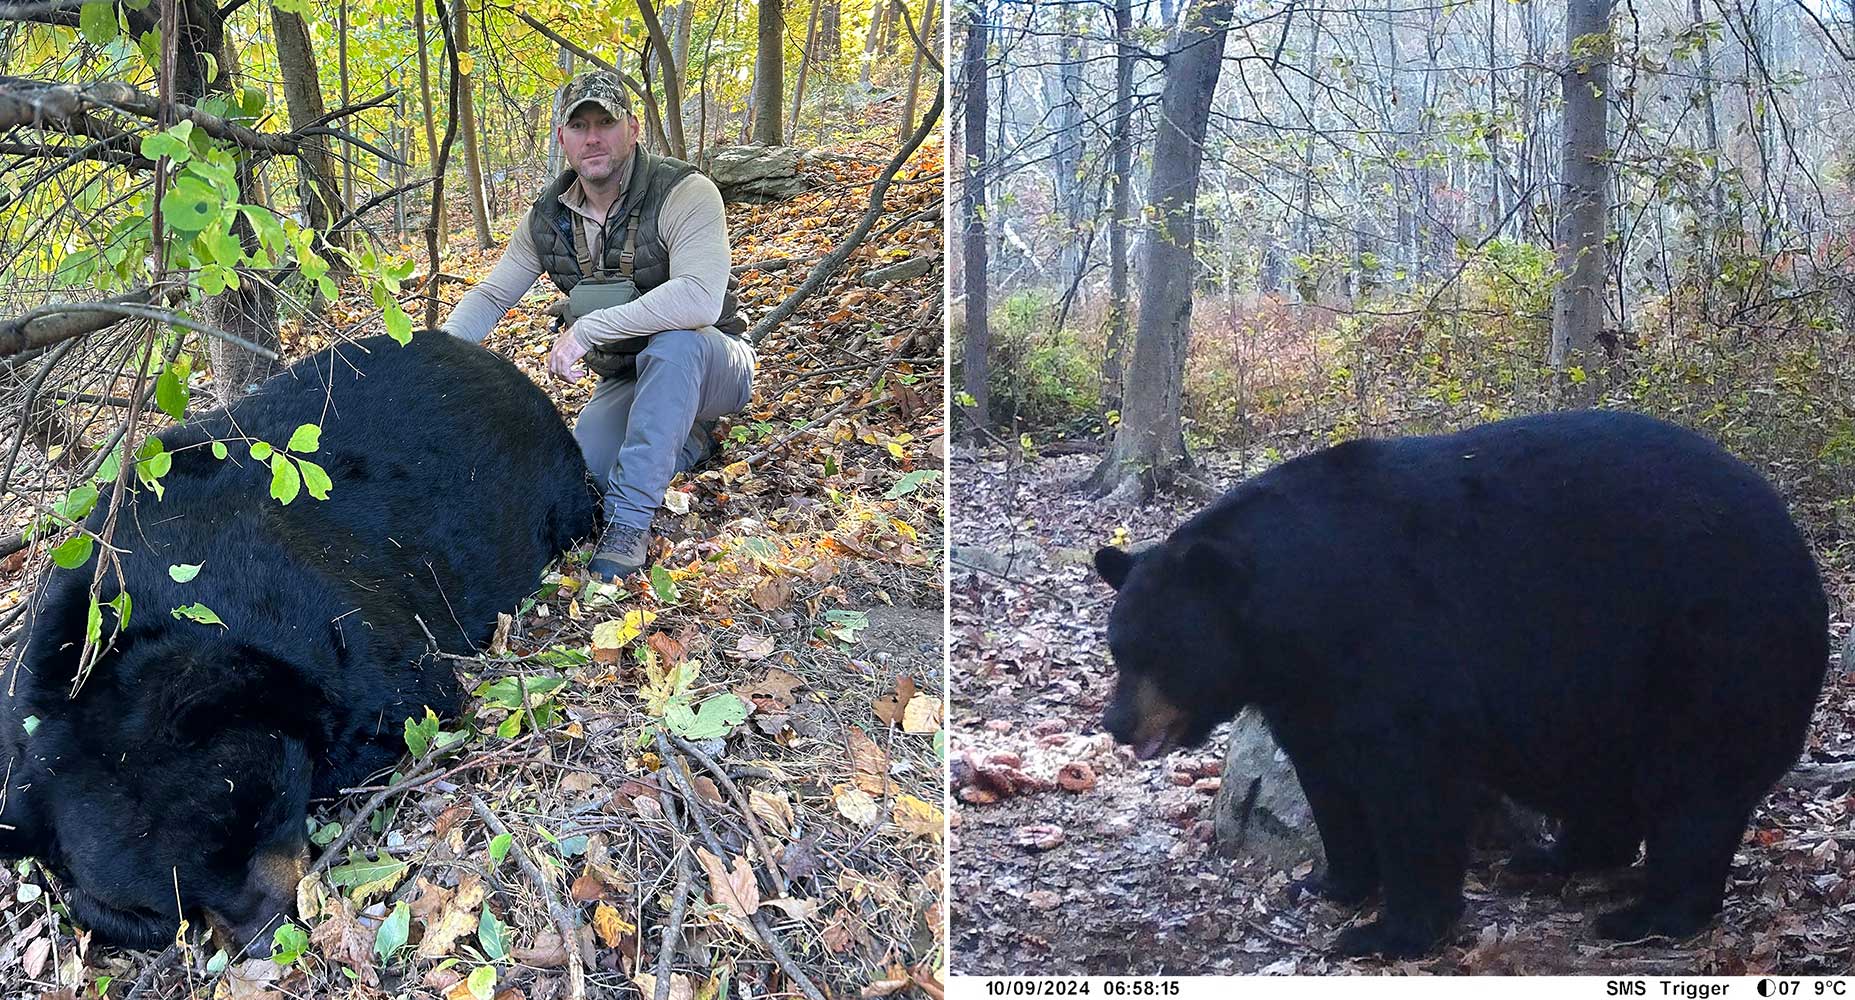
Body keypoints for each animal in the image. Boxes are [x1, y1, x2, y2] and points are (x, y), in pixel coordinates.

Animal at [1092, 410, 1829, 959]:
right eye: (1117, 648)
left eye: (1161, 653)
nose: (1117, 723)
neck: (1294, 612)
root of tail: (1798, 546)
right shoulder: (1307, 692)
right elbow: (1327, 778)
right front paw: (1329, 882)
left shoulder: (1395, 643)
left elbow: (1411, 782)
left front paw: (1388, 930)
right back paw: (1551, 857)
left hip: (1709, 650)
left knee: (1695, 788)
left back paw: (1648, 914)